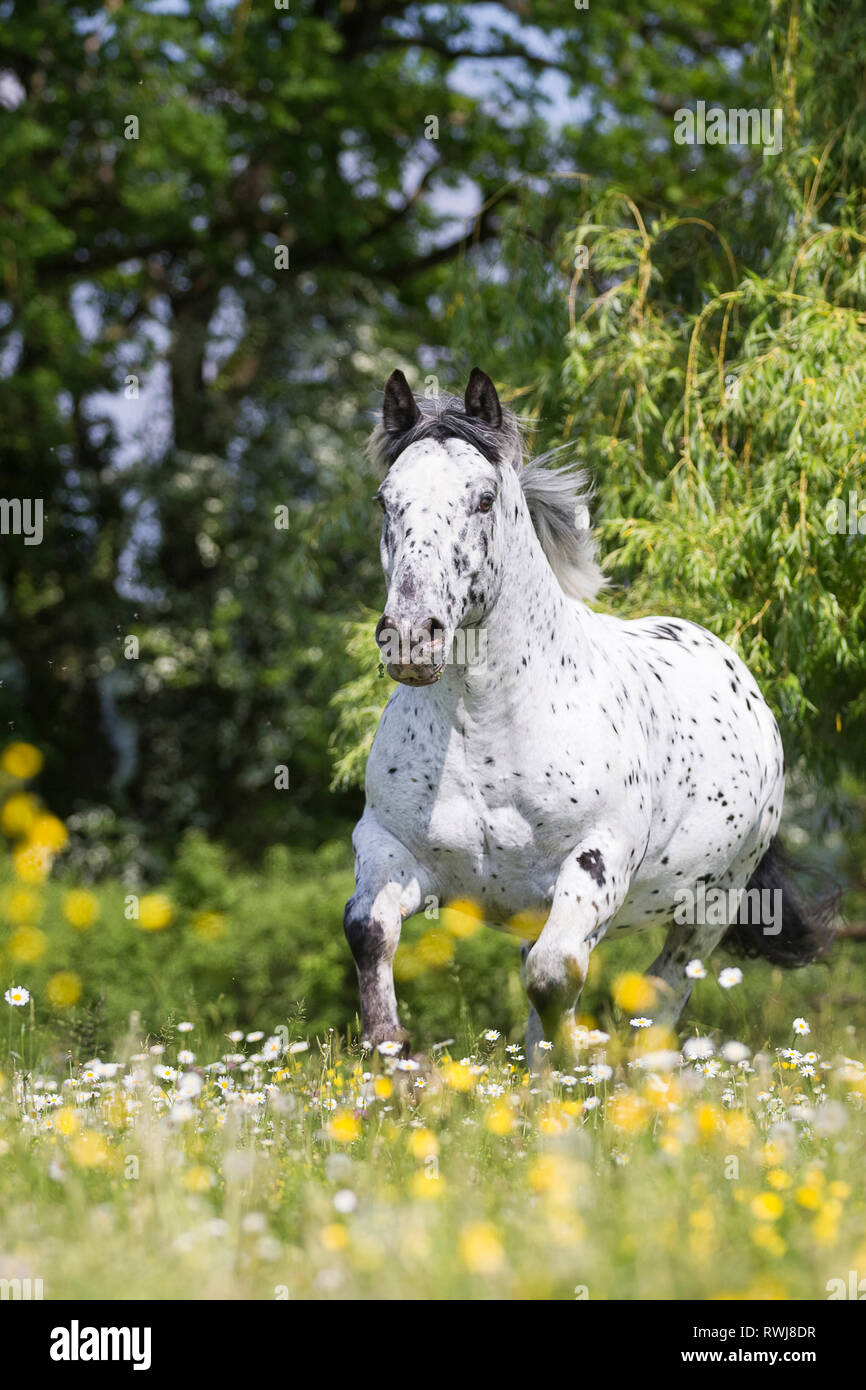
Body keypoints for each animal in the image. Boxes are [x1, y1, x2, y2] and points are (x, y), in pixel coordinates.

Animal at [344, 367, 834, 1058]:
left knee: (660, 993)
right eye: (386, 500)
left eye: (484, 500)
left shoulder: (594, 864)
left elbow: (556, 976)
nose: (412, 637)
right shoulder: (389, 847)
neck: (485, 730)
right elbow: (369, 931)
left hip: (711, 906)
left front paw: (578, 1073)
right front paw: (393, 1052)